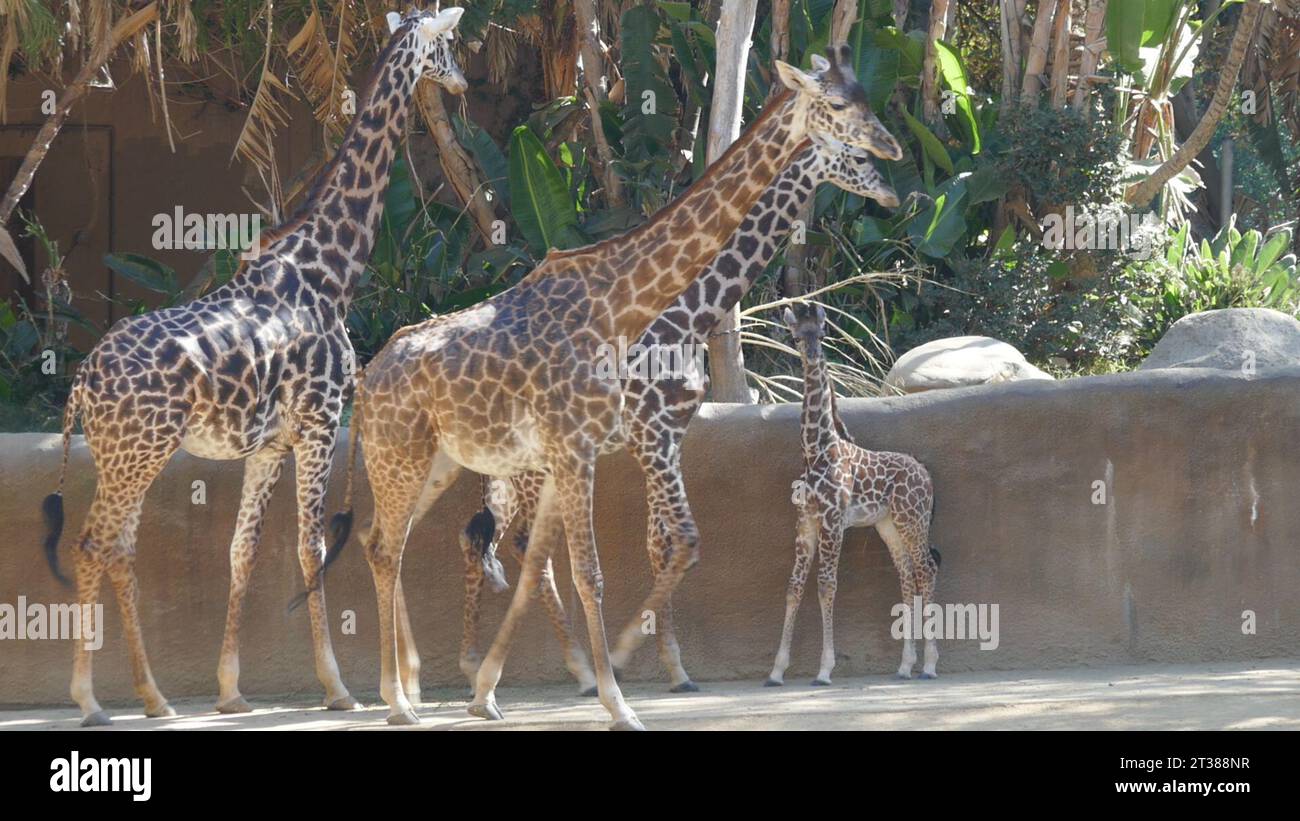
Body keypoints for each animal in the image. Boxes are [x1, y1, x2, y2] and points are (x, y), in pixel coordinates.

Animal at [37, 7, 469, 726]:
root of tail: (83, 382)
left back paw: (154, 696)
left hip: (123, 454)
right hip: (139, 452)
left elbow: (243, 549)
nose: (461, 82)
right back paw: (90, 699)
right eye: (449, 43)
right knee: (94, 543)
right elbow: (310, 545)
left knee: (119, 547)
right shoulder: (321, 421)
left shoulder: (269, 442)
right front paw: (339, 687)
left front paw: (230, 688)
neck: (331, 269)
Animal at [457, 132, 901, 695]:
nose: (890, 196)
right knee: (513, 541)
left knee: (483, 536)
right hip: (535, 463)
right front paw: (655, 660)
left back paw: (484, 670)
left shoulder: (668, 435)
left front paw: (675, 667)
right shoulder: (651, 431)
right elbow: (663, 542)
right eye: (856, 153)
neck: (688, 312)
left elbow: (659, 542)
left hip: (515, 465)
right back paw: (564, 671)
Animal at [765, 302, 939, 687]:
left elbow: (826, 585)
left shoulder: (832, 522)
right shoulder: (806, 524)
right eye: (797, 336)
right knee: (907, 574)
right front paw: (776, 670)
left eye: (822, 332)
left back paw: (930, 665)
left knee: (926, 569)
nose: (813, 355)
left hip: (912, 519)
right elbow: (793, 587)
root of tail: (926, 474)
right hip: (888, 525)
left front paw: (824, 670)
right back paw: (905, 666)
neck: (815, 451)